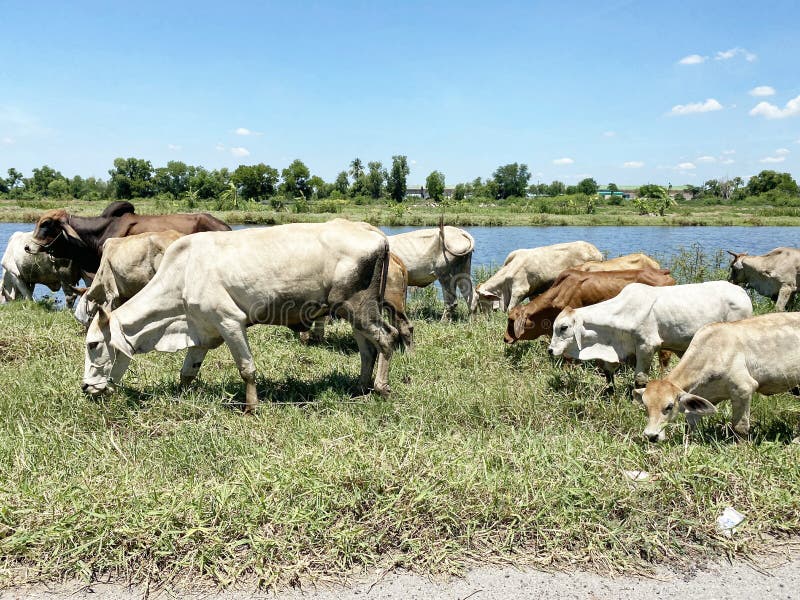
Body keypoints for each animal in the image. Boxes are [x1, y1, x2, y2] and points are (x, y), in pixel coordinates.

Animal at [82, 220, 400, 413]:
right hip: (354, 312)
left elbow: (247, 368)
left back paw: (382, 388)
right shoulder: (201, 329)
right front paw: (180, 395)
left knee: (387, 339)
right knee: (367, 350)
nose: (86, 387)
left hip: (358, 307)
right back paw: (359, 387)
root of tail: (375, 233)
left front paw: (250, 408)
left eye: (93, 344)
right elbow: (187, 372)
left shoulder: (229, 321)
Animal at [548, 281, 753, 388]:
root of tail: (741, 292)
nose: (550, 350)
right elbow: (608, 371)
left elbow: (640, 379)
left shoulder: (647, 346)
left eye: (563, 327)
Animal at [634, 313, 800, 442]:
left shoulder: (743, 389)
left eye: (668, 406)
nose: (651, 436)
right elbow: (690, 426)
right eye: (645, 406)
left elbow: (739, 427)